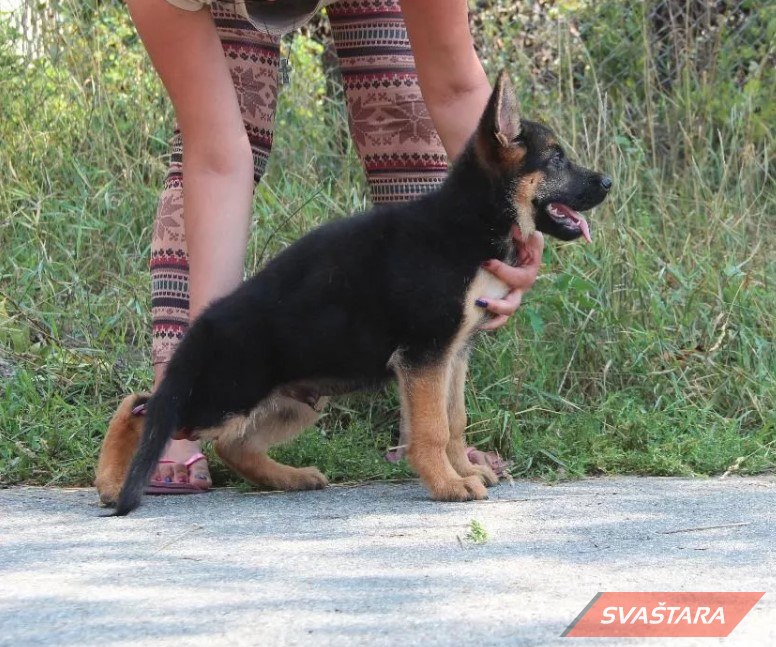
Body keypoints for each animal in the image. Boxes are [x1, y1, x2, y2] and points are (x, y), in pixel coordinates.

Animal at [97, 72, 608, 516]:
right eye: (556, 159)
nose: (607, 182)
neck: (469, 221)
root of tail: (202, 324)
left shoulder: (453, 355)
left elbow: (455, 422)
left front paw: (463, 470)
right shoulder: (425, 356)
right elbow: (432, 430)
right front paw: (448, 485)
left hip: (294, 402)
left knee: (229, 444)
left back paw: (290, 478)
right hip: (224, 393)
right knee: (141, 407)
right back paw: (110, 484)